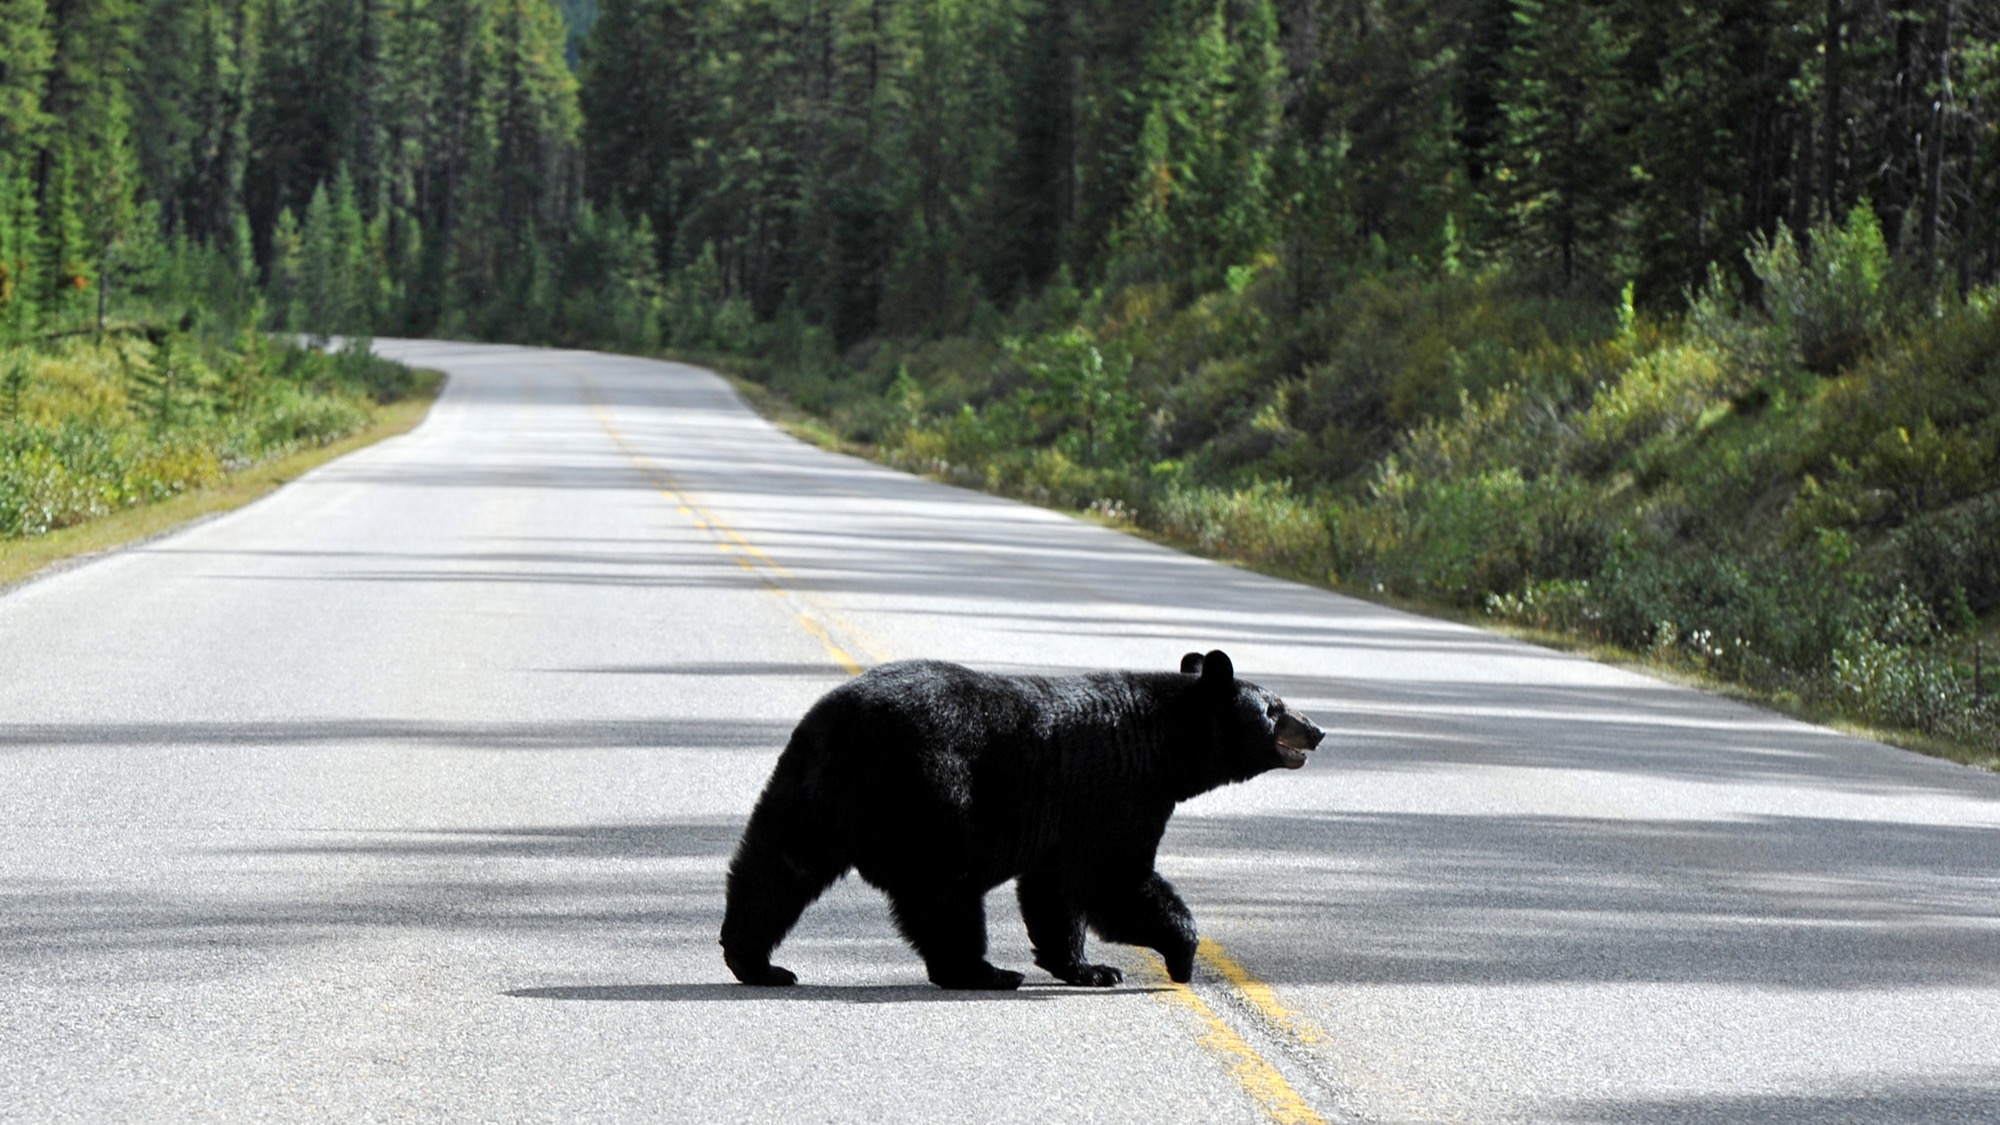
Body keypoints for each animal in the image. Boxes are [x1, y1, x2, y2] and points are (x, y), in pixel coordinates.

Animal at [718, 649, 1324, 990]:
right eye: (1273, 708)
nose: (1316, 730)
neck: (1161, 746)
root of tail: (843, 726)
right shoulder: (1118, 796)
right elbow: (1112, 881)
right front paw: (1180, 957)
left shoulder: (1069, 821)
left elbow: (1054, 892)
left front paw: (1090, 969)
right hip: (934, 795)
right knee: (945, 893)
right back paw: (982, 973)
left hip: (810, 792)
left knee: (776, 868)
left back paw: (756, 962)